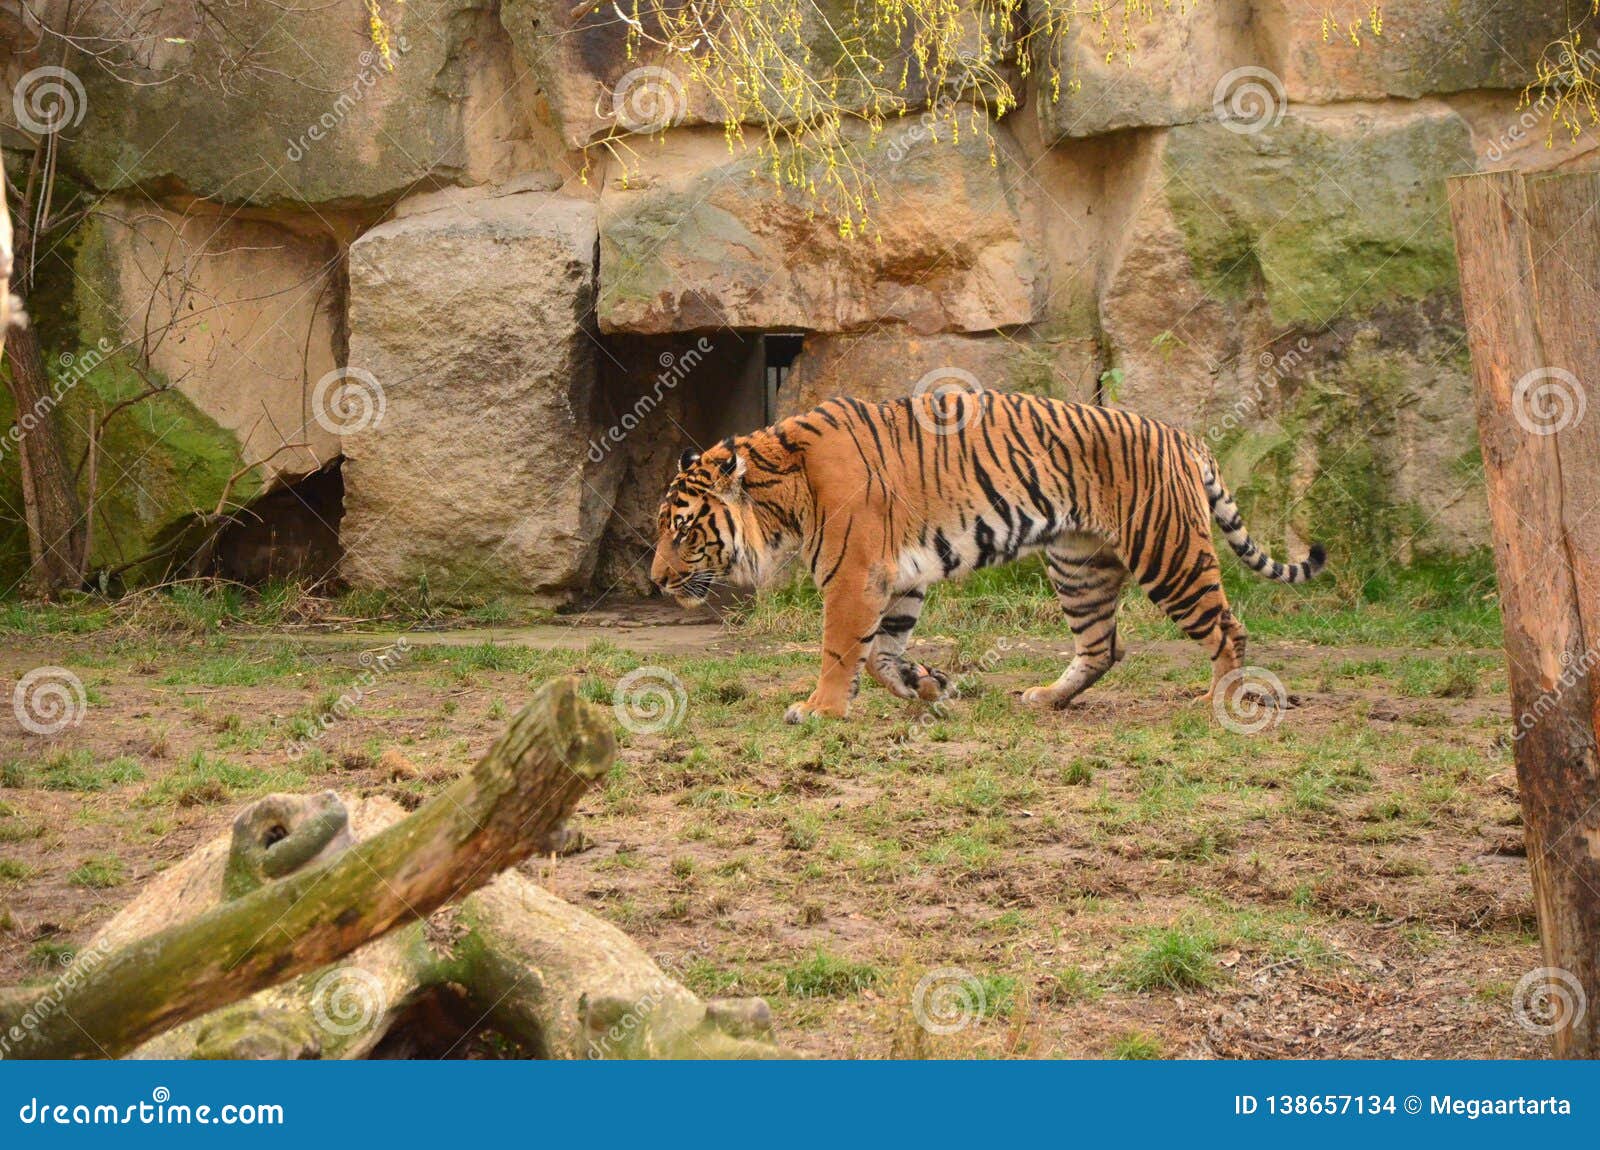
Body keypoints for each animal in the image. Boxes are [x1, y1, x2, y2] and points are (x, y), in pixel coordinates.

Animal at [650, 391, 1325, 723]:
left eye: (682, 529)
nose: (655, 582)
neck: (780, 491)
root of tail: (1184, 436)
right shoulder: (899, 578)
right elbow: (882, 656)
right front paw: (927, 684)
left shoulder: (854, 578)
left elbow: (842, 651)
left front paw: (818, 710)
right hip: (1078, 566)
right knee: (1102, 646)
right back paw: (1045, 699)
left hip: (1169, 553)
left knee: (1228, 628)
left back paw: (1220, 703)